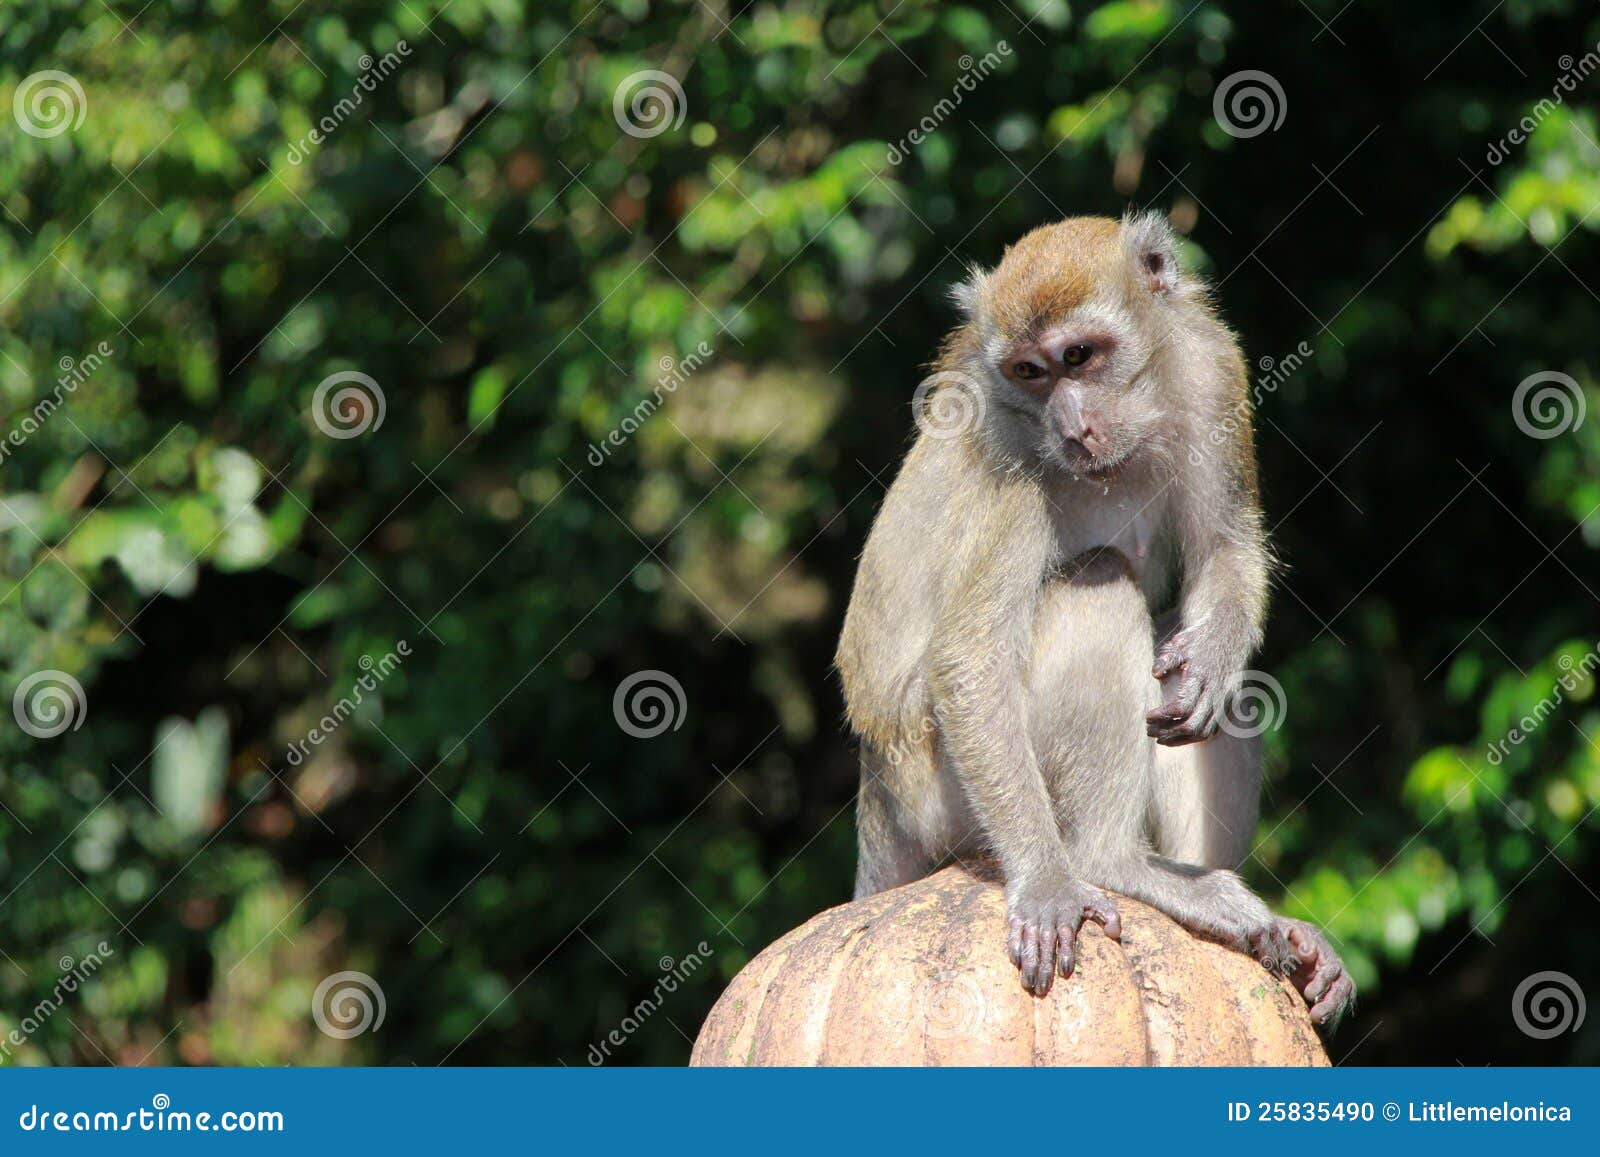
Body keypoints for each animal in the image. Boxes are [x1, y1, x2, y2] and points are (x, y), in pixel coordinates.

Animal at [835, 211, 1354, 1025]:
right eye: (1029, 372)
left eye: (1079, 356)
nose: (1073, 429)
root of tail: (877, 786)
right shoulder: (1008, 458)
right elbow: (969, 657)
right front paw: (1048, 883)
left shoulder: (1211, 369)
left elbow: (1224, 548)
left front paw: (1211, 661)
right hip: (941, 792)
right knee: (1099, 590)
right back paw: (1109, 862)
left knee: (1210, 675)